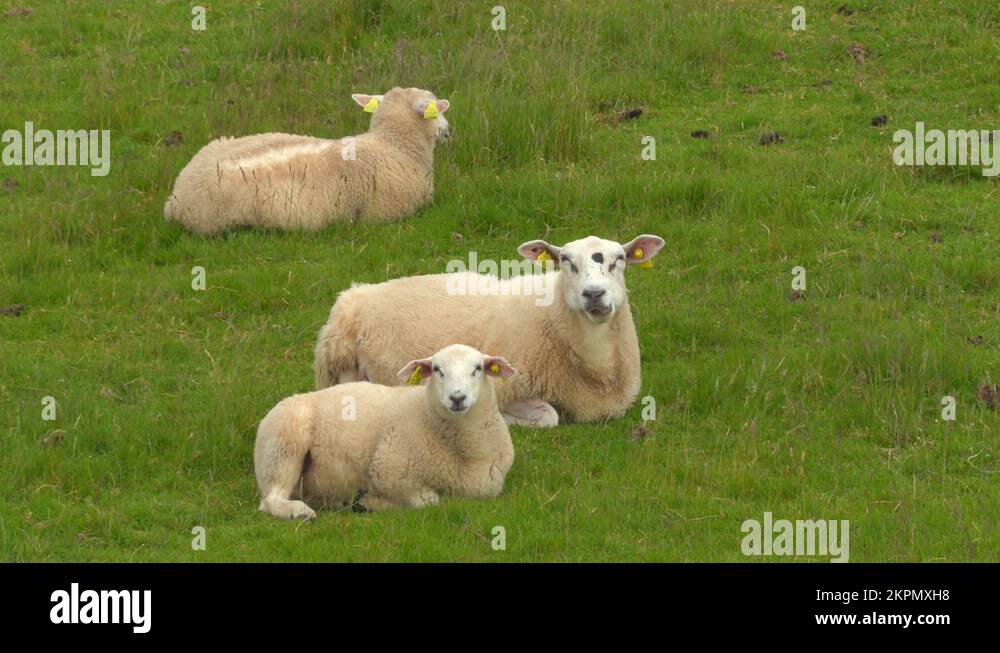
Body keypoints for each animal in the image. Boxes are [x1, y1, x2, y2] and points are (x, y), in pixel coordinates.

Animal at [255, 344, 516, 518]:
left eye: (478, 368)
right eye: (437, 369)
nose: (457, 398)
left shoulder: (488, 485)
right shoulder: (390, 471)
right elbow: (429, 500)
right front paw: (371, 502)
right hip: (283, 446)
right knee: (271, 499)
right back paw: (300, 512)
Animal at [313, 234, 665, 428]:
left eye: (618, 260)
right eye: (565, 260)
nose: (594, 294)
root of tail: (352, 294)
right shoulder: (508, 385)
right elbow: (548, 415)